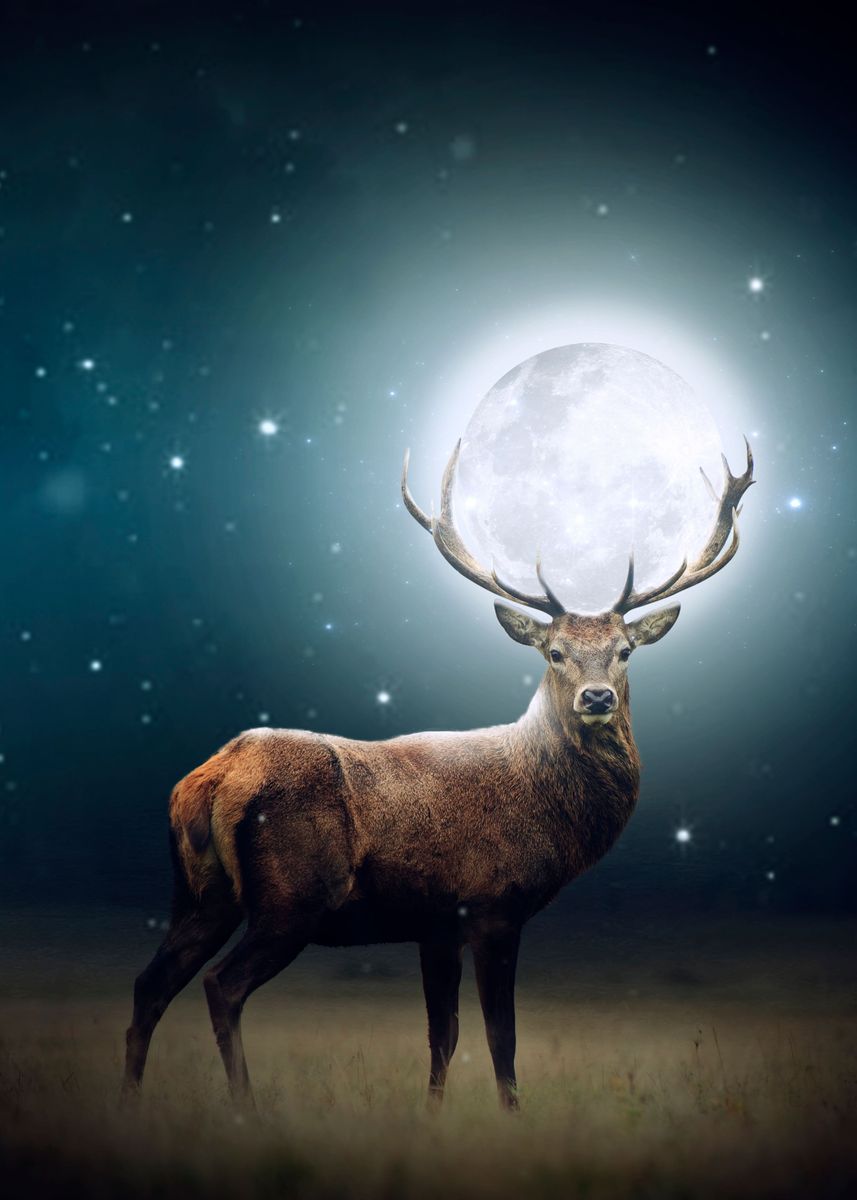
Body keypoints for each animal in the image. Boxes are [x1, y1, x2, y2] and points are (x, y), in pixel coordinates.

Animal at [121, 437, 754, 1113]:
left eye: (626, 651)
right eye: (554, 652)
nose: (598, 697)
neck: (548, 810)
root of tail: (212, 777)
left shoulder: (435, 924)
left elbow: (442, 1035)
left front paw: (431, 1115)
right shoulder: (493, 904)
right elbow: (501, 1035)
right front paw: (512, 1116)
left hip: (199, 894)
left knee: (149, 984)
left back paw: (130, 1099)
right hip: (292, 897)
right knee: (222, 986)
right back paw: (245, 1108)